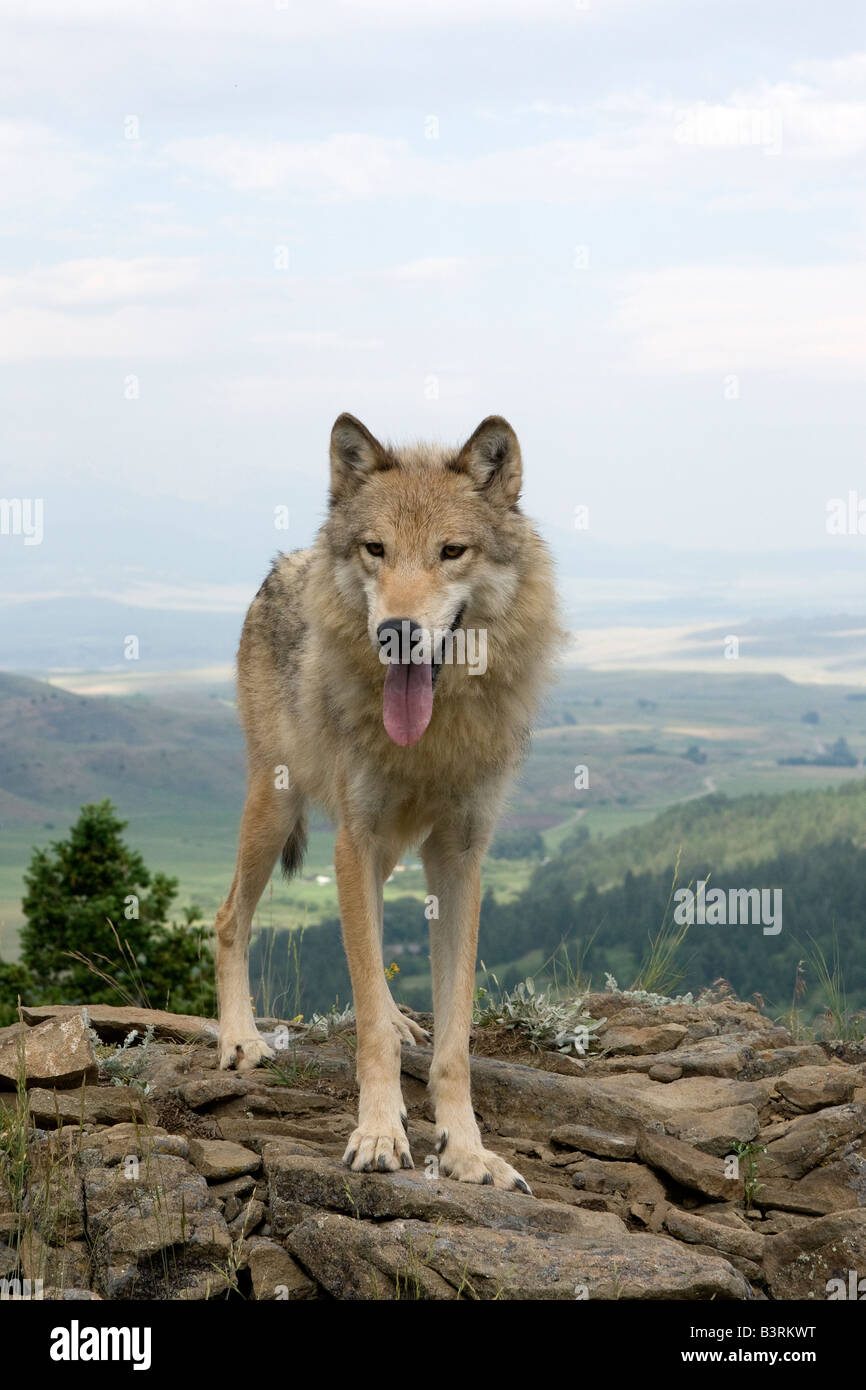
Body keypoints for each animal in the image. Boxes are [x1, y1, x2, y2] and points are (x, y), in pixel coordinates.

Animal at [215, 413, 558, 1189]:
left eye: (451, 551)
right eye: (377, 550)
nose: (396, 631)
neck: (433, 736)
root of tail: (283, 563)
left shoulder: (460, 856)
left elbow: (454, 1036)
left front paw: (467, 1150)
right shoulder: (356, 840)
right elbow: (367, 1013)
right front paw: (377, 1133)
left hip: (390, 847)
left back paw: (404, 1019)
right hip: (275, 810)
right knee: (228, 920)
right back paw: (241, 1040)